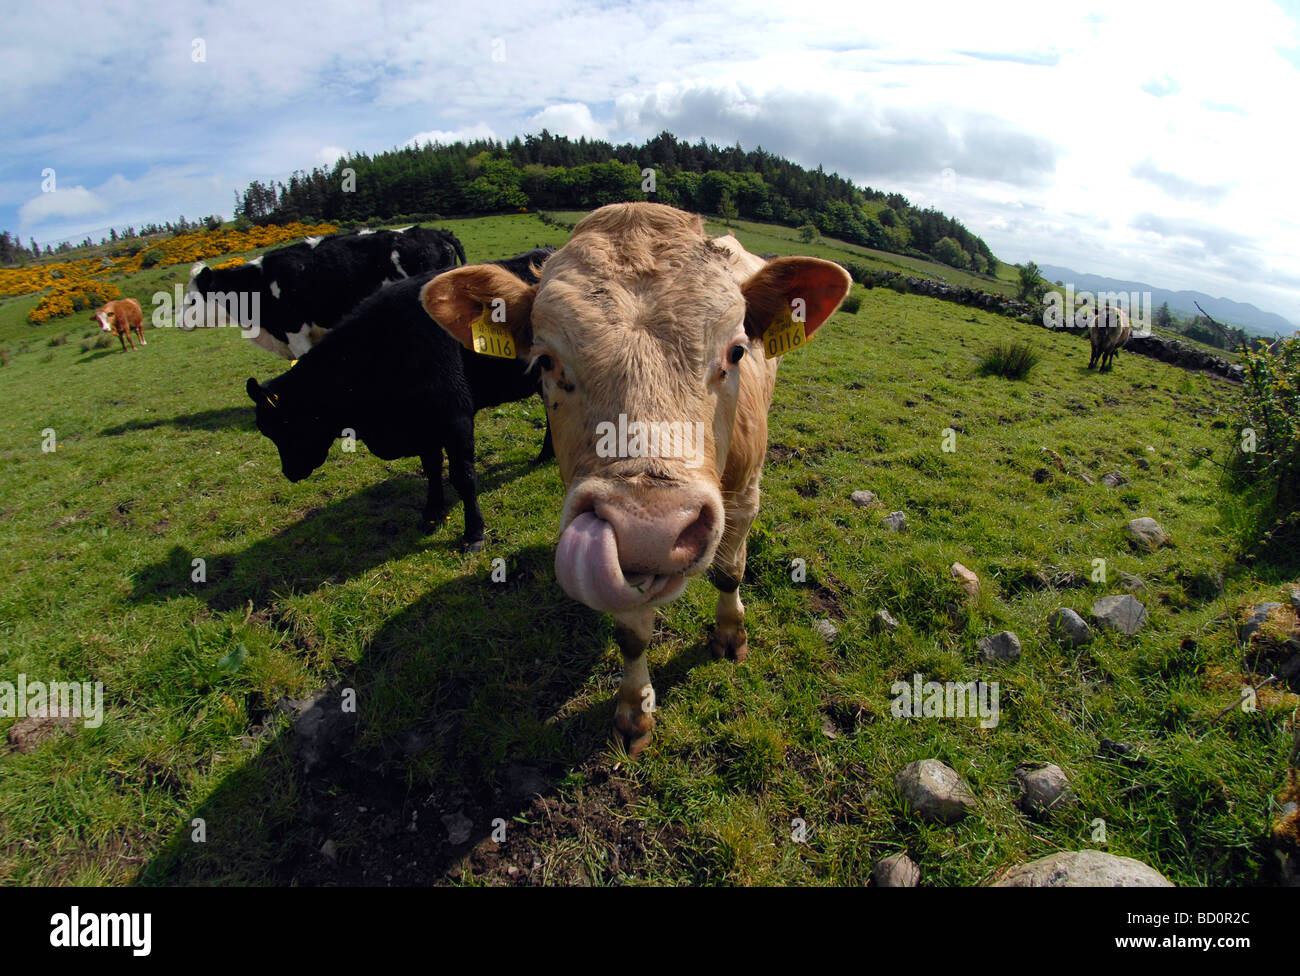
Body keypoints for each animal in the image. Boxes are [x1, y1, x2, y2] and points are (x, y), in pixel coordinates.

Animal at [244, 248, 555, 550]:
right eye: (268, 430)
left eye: (285, 425)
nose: (290, 472)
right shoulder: (423, 426)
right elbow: (432, 468)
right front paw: (432, 512)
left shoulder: (455, 419)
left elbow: (463, 476)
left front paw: (474, 532)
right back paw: (546, 455)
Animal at [419, 202, 851, 756]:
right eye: (545, 361)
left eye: (735, 352)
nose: (652, 527)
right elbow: (632, 637)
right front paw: (633, 712)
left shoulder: (746, 493)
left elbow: (730, 572)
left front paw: (730, 636)